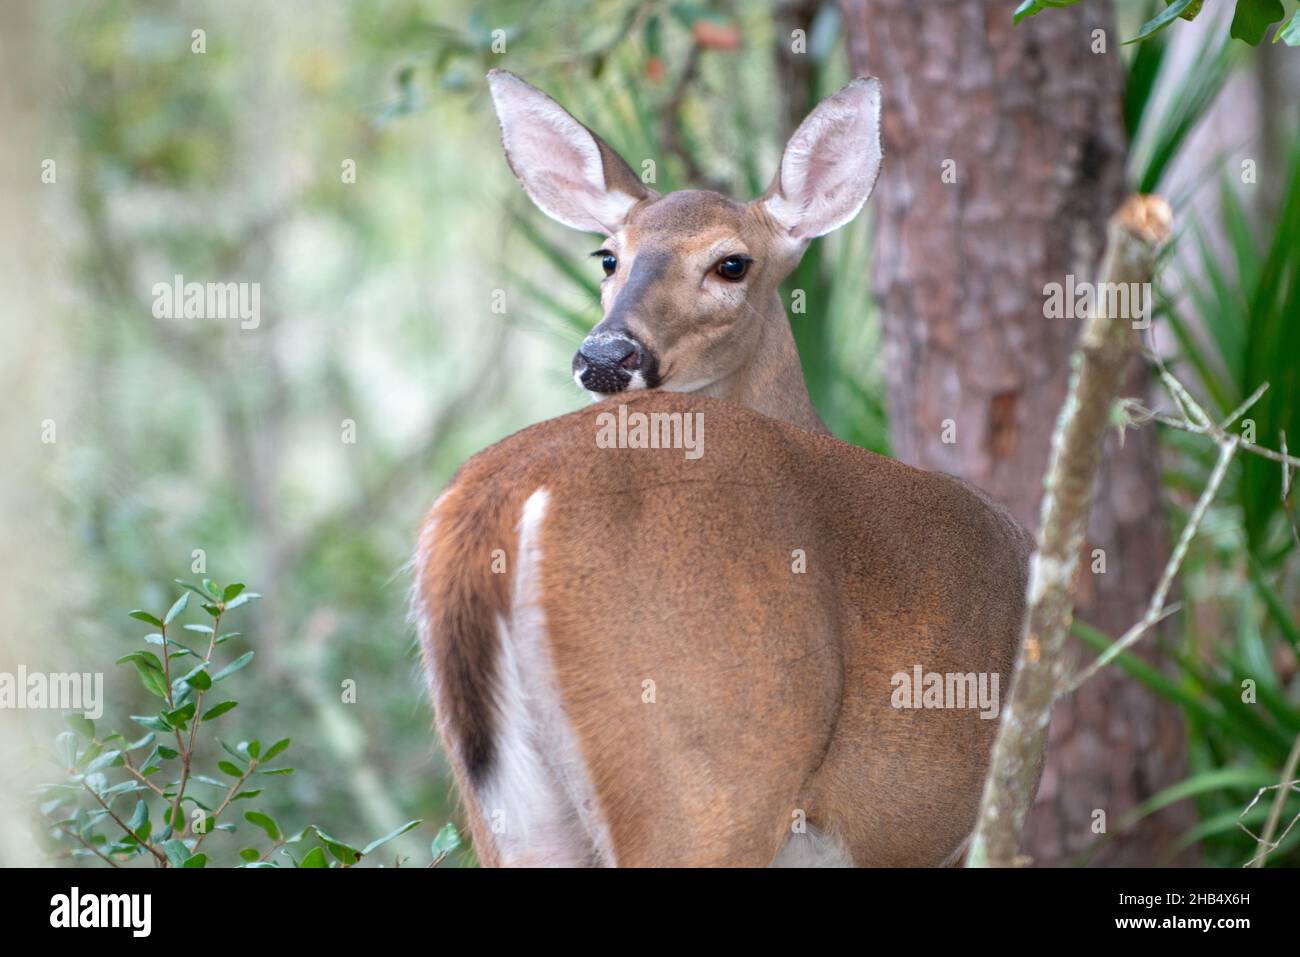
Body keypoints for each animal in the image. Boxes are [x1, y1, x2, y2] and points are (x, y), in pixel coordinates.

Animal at [411, 71, 1033, 866]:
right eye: (607, 256)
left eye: (731, 262)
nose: (606, 354)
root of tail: (503, 497)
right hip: (707, 768)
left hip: (516, 815)